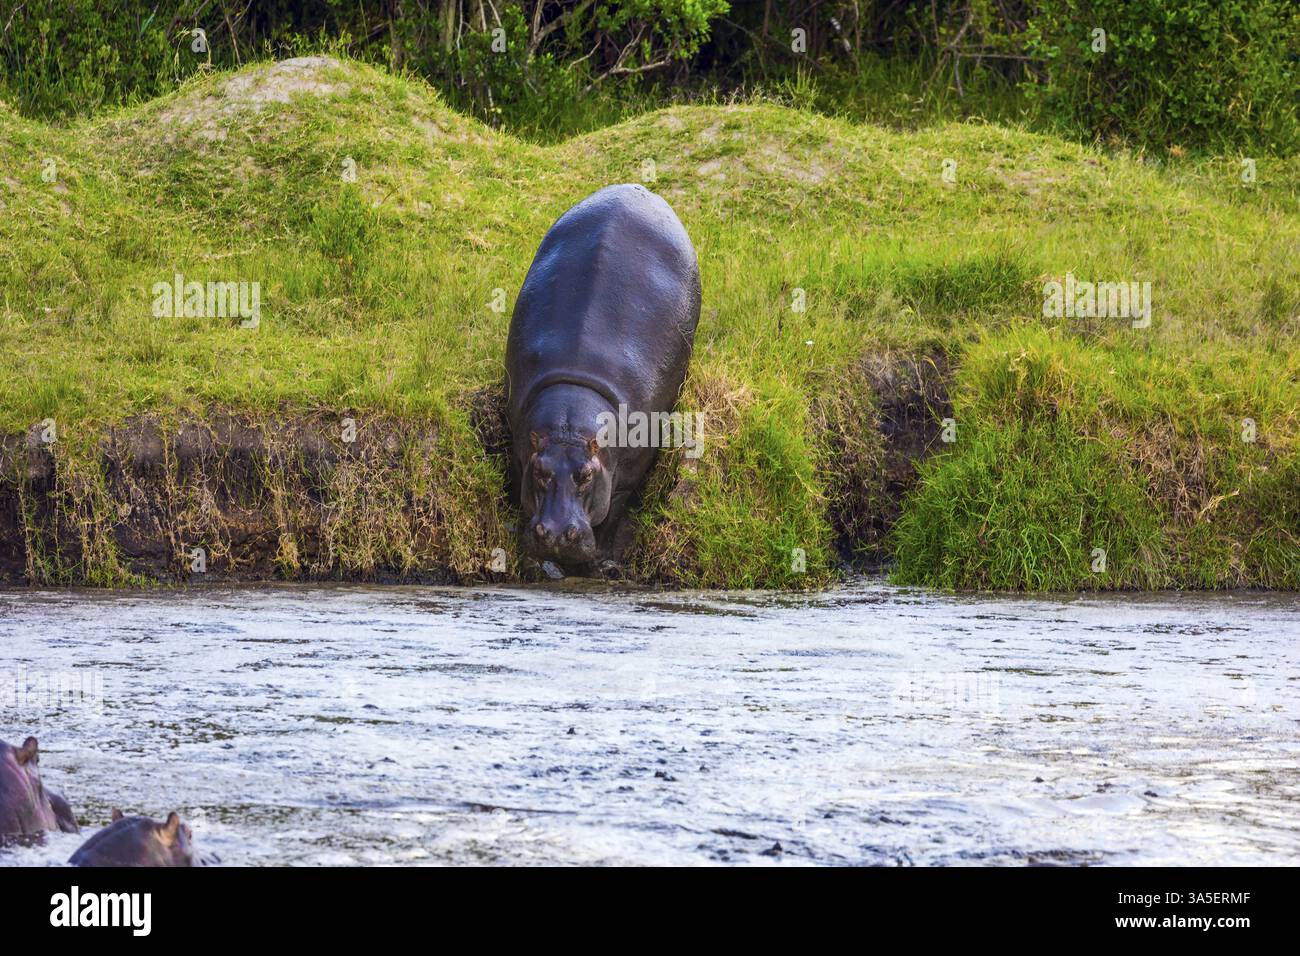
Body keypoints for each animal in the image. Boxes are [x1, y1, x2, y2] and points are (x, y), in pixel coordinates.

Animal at [506, 183, 701, 571]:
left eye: (585, 475)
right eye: (541, 472)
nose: (555, 533)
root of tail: (637, 189)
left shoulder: (625, 477)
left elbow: (613, 512)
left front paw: (601, 562)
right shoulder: (523, 454)